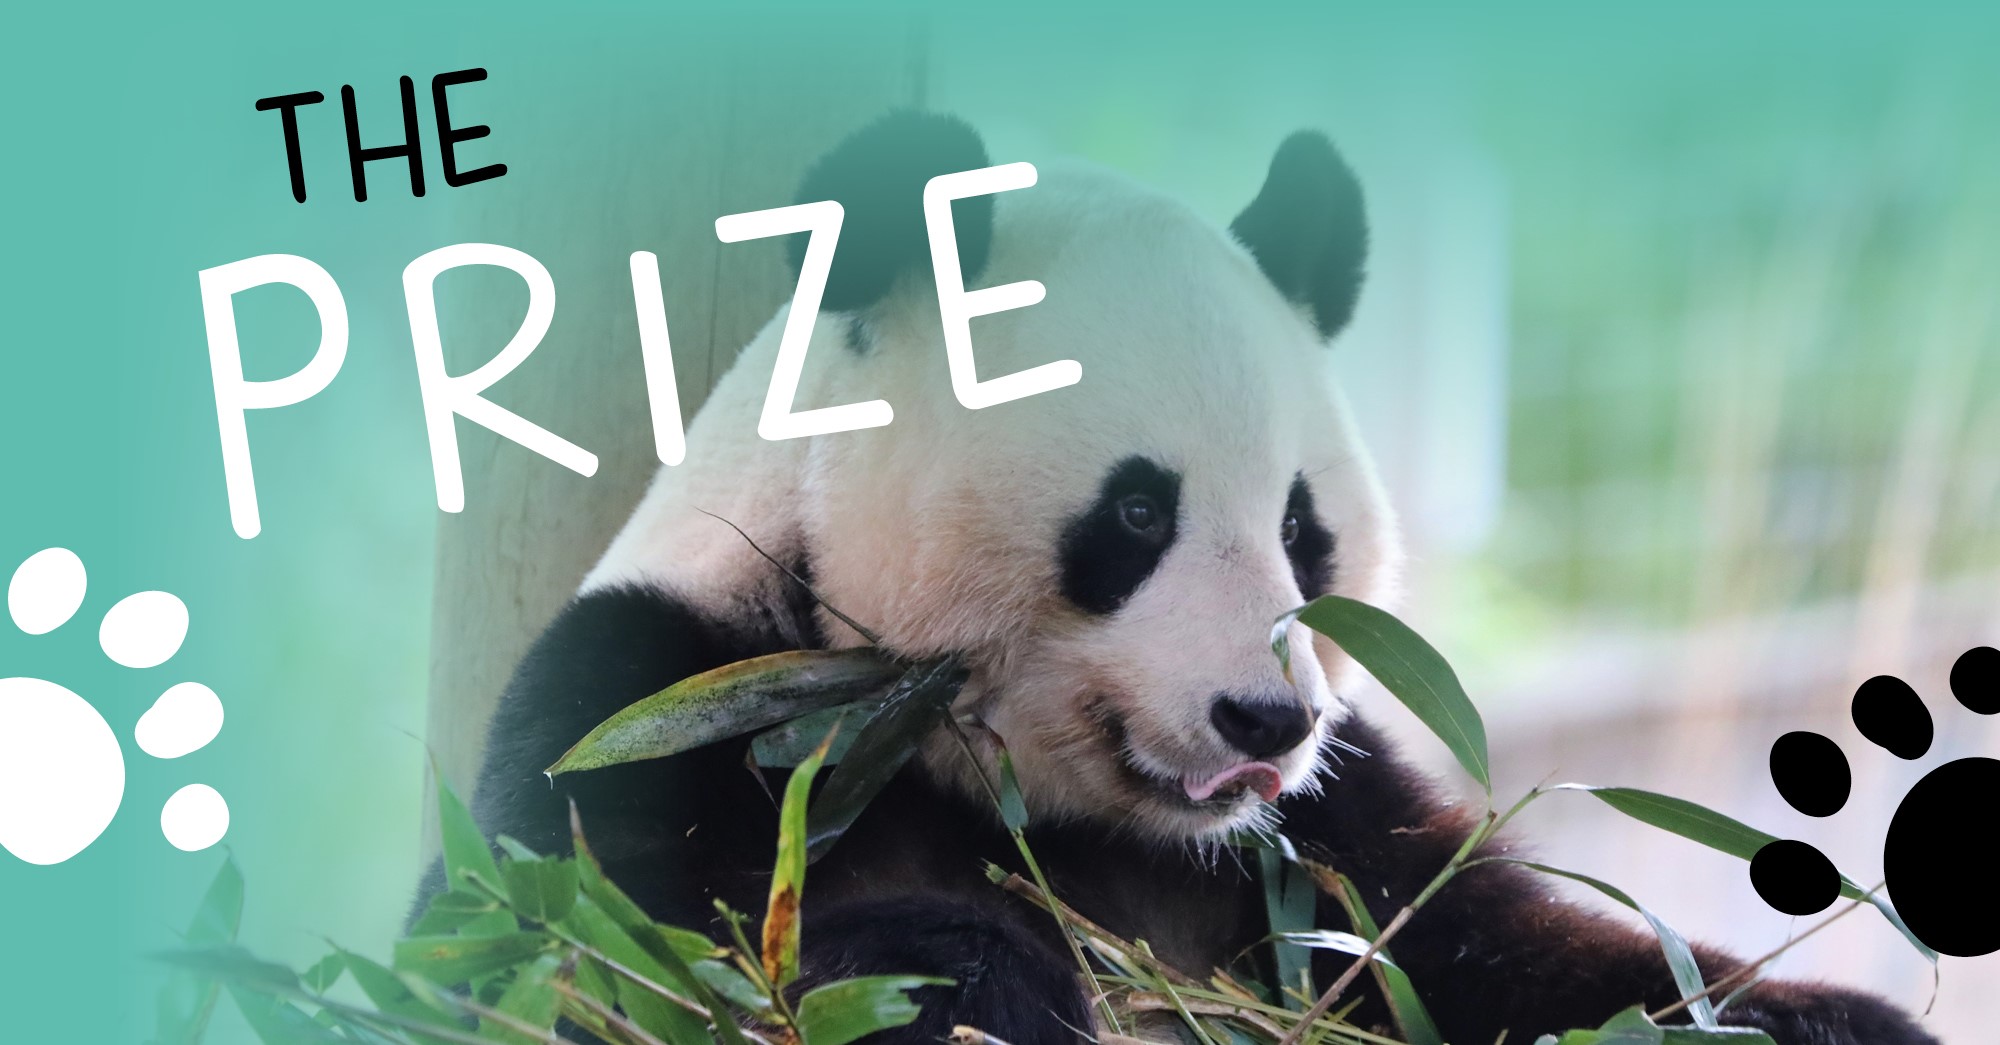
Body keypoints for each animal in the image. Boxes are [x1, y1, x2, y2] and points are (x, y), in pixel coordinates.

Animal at [432, 113, 1938, 1045]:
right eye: (1138, 512)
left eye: (1302, 532)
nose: (1264, 719)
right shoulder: (654, 708)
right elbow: (590, 959)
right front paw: (968, 978)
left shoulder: (1329, 841)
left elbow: (1509, 956)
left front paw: (1814, 1015)